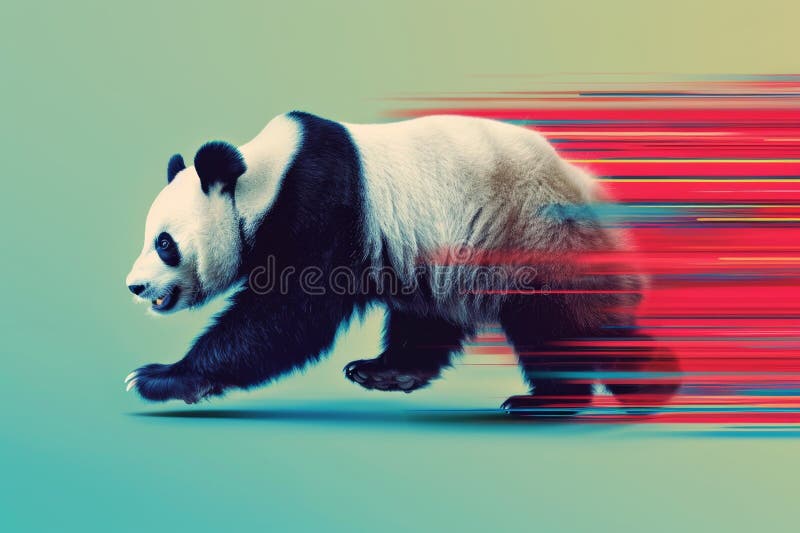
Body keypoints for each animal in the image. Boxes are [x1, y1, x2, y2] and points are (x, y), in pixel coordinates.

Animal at [125, 111, 679, 414]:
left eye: (165, 243)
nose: (134, 287)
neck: (261, 179)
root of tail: (590, 190)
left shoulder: (320, 204)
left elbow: (287, 314)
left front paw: (161, 377)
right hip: (443, 253)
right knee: (430, 316)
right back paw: (386, 372)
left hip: (534, 235)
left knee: (562, 327)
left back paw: (598, 393)